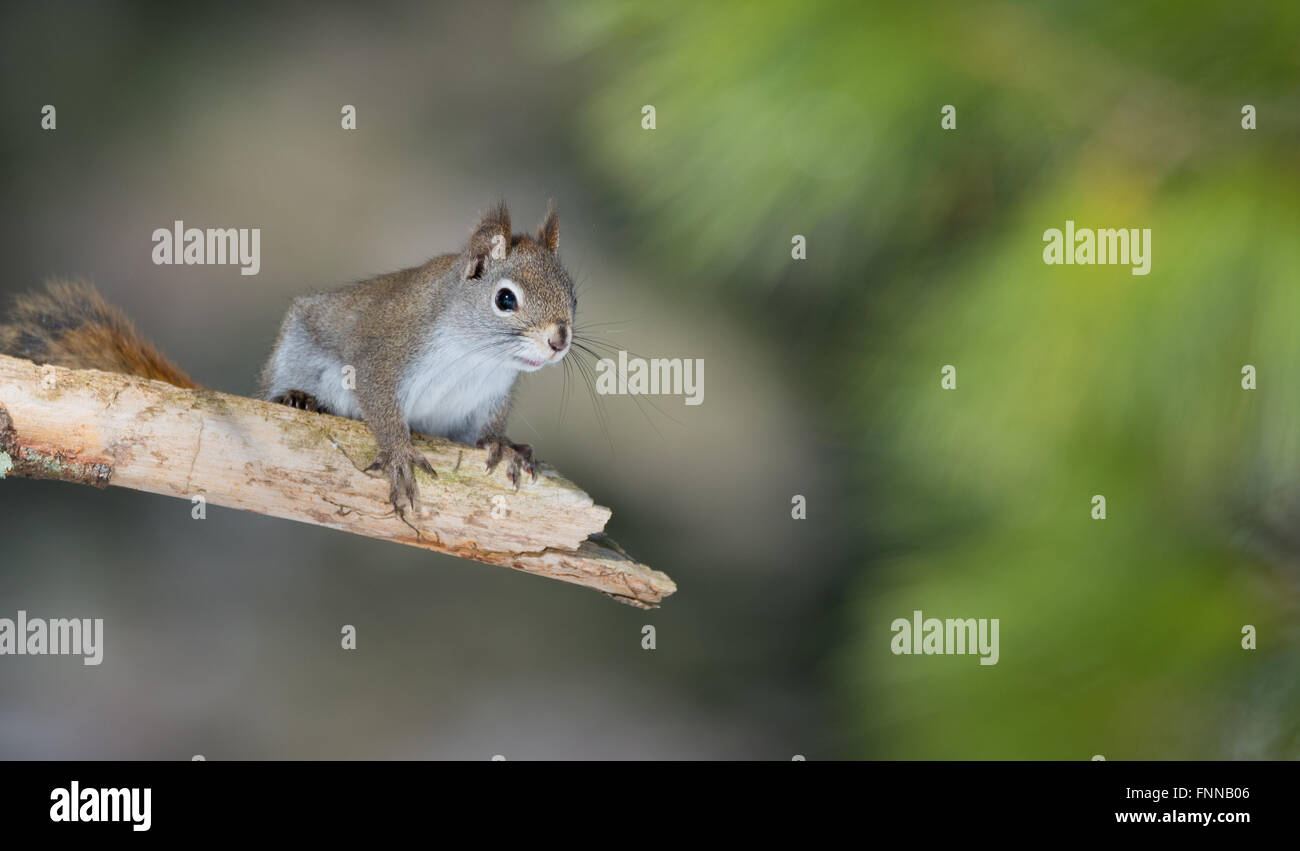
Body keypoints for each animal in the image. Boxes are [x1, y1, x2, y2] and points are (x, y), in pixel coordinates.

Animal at [0, 201, 577, 515]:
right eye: (506, 299)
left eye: (573, 292)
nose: (560, 340)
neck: (478, 355)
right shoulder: (387, 350)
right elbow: (381, 404)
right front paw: (397, 454)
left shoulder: (488, 395)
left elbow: (486, 429)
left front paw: (503, 445)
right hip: (296, 351)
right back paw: (297, 399)